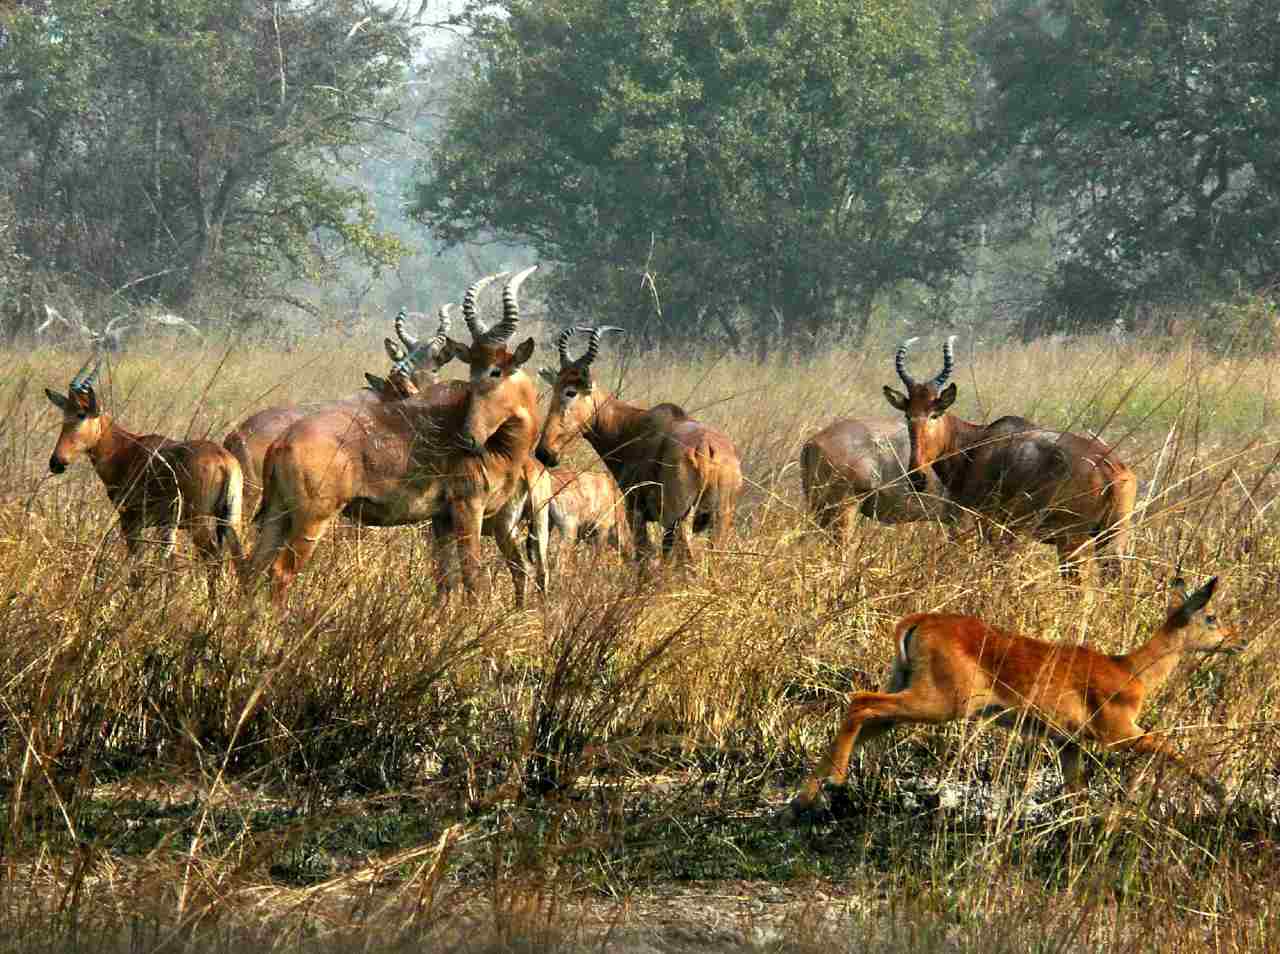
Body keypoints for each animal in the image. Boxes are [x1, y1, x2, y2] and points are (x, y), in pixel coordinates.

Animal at [45, 355, 245, 594]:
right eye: (64, 413)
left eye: (81, 414)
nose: (56, 463)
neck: (126, 449)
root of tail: (225, 461)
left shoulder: (132, 522)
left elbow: (137, 570)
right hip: (231, 519)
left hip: (199, 523)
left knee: (213, 558)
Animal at [249, 267, 549, 605]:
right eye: (473, 370)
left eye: (496, 370)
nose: (468, 439)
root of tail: (282, 442)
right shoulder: (467, 507)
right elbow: (472, 576)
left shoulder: (442, 519)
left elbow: (445, 581)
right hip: (312, 519)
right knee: (280, 572)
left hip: (277, 514)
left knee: (252, 568)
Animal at [536, 327, 742, 563]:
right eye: (555, 387)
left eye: (571, 391)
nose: (545, 452)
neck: (636, 426)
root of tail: (707, 450)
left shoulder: (636, 510)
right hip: (720, 519)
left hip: (678, 518)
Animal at [790, 576, 1243, 821]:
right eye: (1212, 617)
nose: (1237, 641)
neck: (1130, 669)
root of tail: (916, 621)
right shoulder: (1118, 732)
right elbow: (1169, 745)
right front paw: (1222, 792)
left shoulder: (1067, 743)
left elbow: (1076, 791)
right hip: (941, 702)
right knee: (859, 702)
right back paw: (831, 782)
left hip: (910, 690)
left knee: (864, 715)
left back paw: (805, 799)